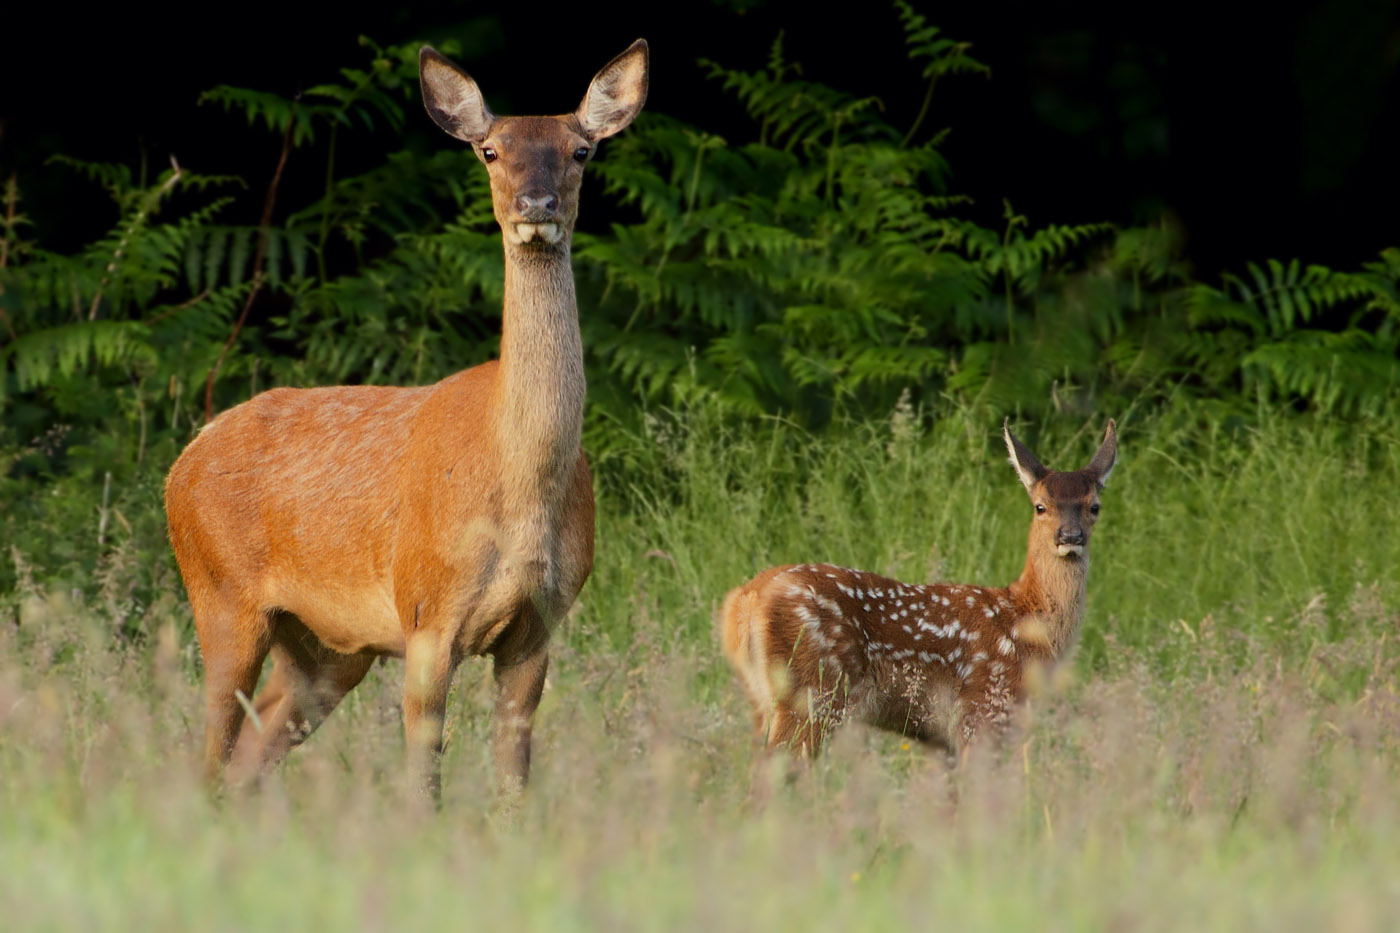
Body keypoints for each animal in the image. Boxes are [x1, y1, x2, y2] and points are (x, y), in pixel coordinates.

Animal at [162, 41, 649, 801]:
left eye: (581, 151)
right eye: (489, 150)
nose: (536, 204)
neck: (522, 485)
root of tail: (180, 464)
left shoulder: (539, 627)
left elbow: (514, 785)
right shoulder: (426, 614)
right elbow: (424, 782)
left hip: (325, 648)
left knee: (251, 753)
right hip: (220, 594)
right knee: (211, 750)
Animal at [722, 420, 1114, 756]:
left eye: (1094, 506)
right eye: (1040, 506)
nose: (1070, 536)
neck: (1026, 620)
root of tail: (744, 601)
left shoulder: (944, 740)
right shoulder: (983, 709)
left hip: (765, 699)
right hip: (812, 690)